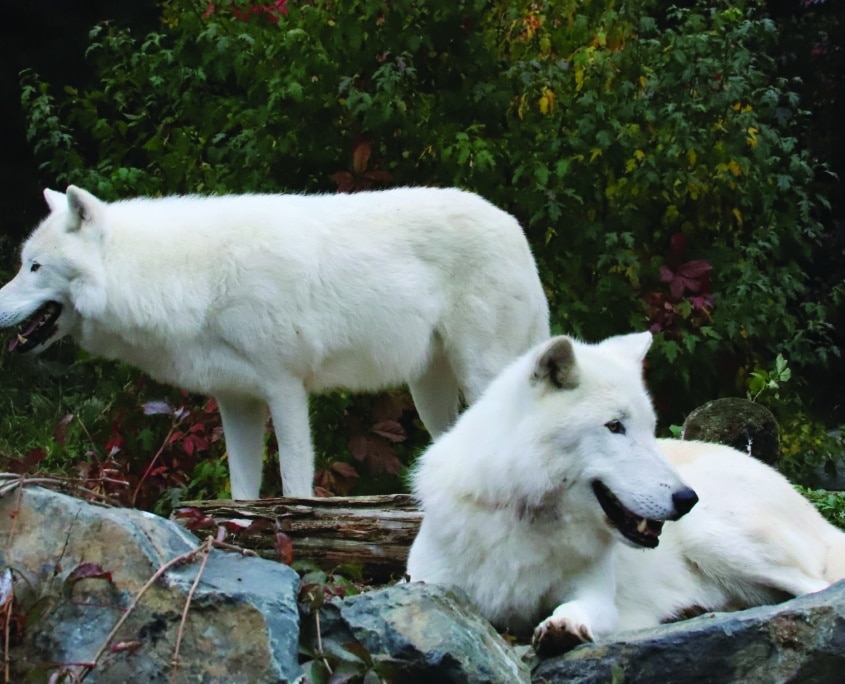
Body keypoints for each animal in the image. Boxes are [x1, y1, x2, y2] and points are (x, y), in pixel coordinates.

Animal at [0, 186, 549, 499]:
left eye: (35, 267)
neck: (188, 279)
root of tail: (515, 228)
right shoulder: (236, 401)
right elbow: (244, 493)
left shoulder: (286, 390)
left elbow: (293, 483)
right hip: (429, 393)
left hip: (480, 375)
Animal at [406, 332, 845, 656]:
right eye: (615, 427)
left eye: (651, 429)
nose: (688, 498)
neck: (524, 516)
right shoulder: (427, 585)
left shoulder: (597, 595)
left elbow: (576, 607)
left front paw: (563, 626)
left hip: (718, 541)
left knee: (816, 589)